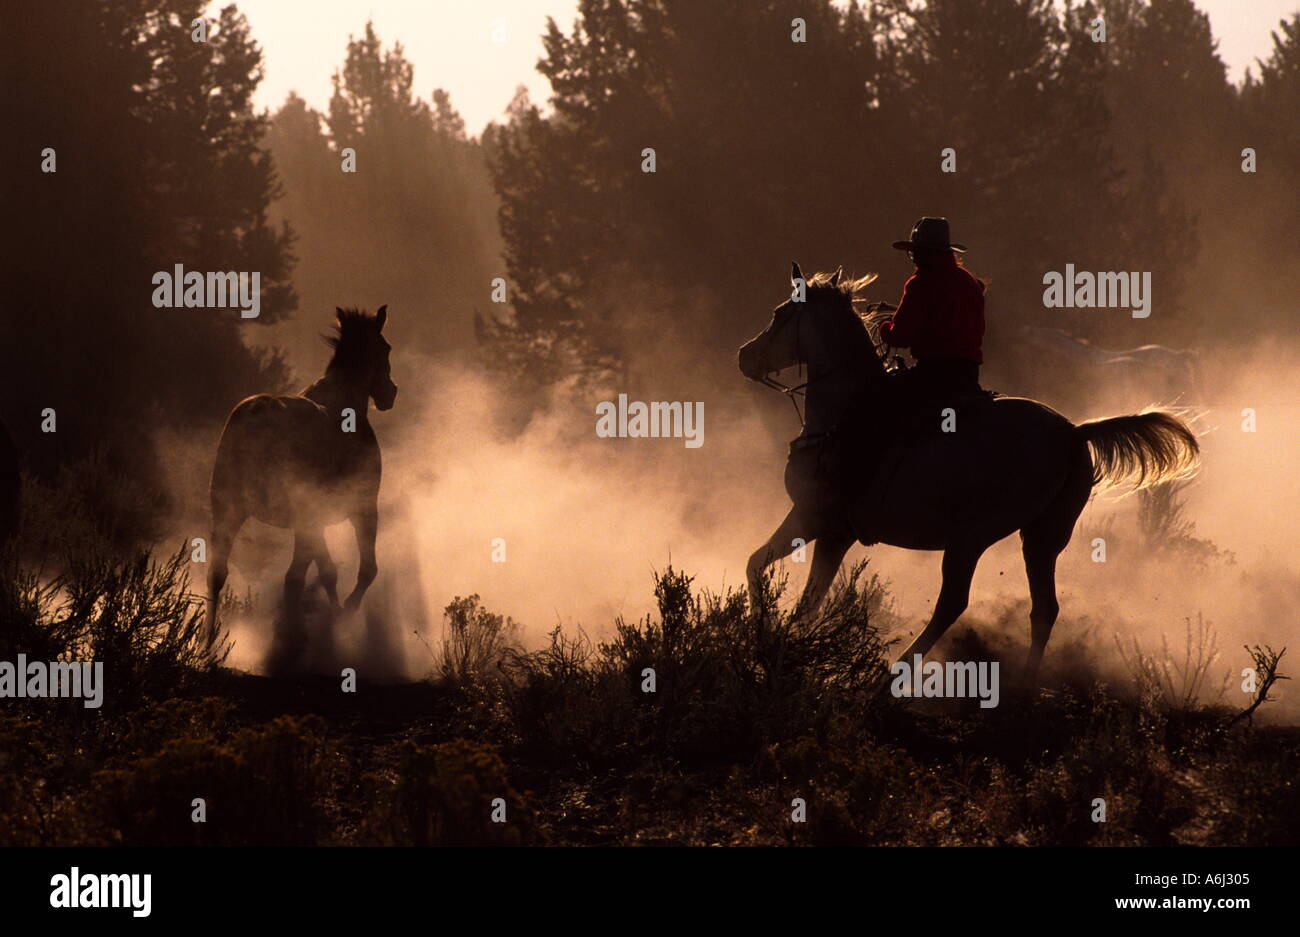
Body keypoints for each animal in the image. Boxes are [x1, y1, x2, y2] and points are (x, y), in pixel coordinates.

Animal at [201, 305, 395, 649]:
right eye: (385, 348)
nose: (390, 394)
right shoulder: (363, 508)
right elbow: (366, 570)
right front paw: (345, 614)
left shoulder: (315, 522)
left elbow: (328, 571)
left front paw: (335, 617)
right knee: (292, 578)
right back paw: (292, 639)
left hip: (229, 509)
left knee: (218, 572)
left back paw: (208, 641)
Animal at [743, 262, 1196, 686]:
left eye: (780, 312)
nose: (744, 355)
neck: (843, 411)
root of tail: (1073, 432)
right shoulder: (835, 534)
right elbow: (795, 593)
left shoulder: (814, 518)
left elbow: (770, 575)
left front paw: (765, 640)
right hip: (1043, 537)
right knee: (1043, 609)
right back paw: (1022, 690)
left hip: (970, 539)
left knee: (953, 603)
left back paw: (892, 678)